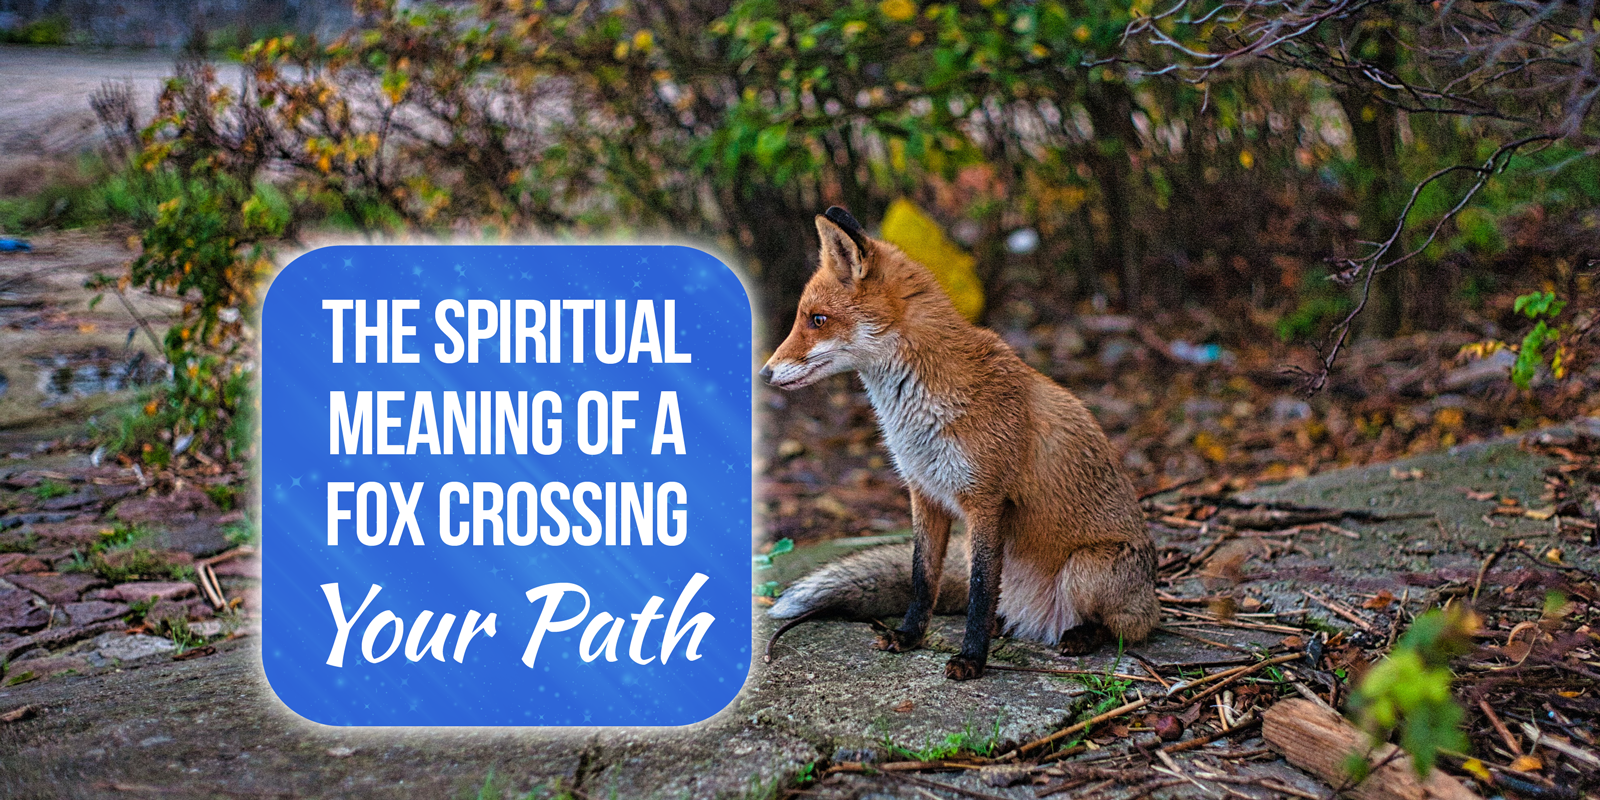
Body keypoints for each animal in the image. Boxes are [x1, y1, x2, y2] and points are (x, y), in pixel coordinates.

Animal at [759, 207, 1158, 681]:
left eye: (817, 319)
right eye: (804, 318)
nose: (764, 373)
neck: (918, 412)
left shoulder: (985, 500)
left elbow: (980, 591)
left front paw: (971, 658)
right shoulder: (924, 493)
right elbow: (923, 577)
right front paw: (909, 636)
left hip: (1086, 570)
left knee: (1122, 627)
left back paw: (1079, 635)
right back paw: (1008, 626)